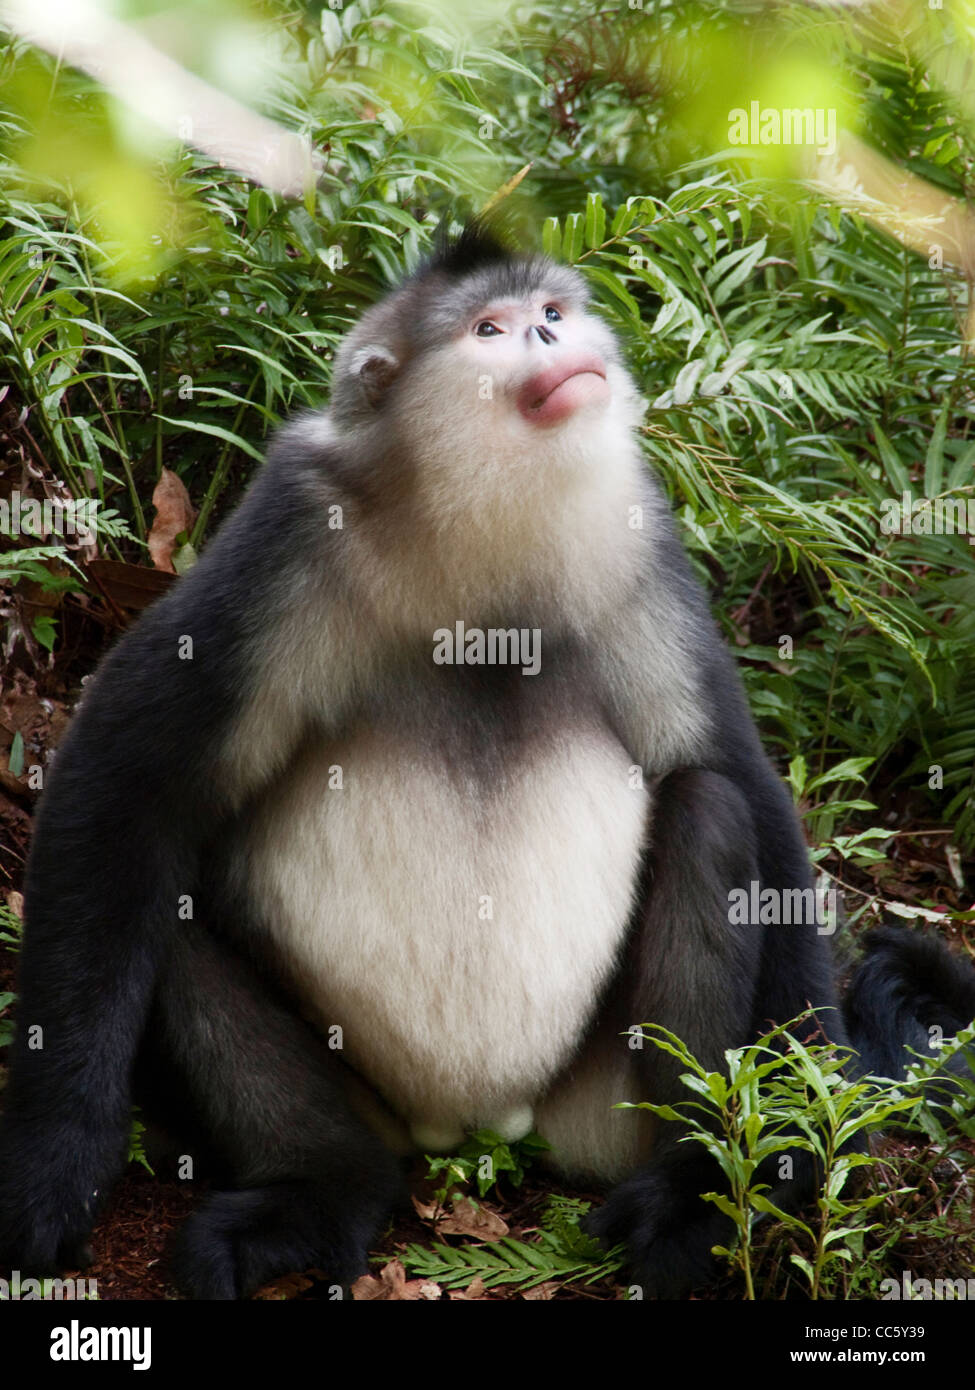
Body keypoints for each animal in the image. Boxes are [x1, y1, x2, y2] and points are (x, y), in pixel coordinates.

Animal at [0, 221, 973, 1300]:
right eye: (491, 330)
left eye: (550, 313)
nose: (553, 340)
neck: (484, 539)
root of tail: (477, 1125)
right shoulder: (289, 526)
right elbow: (132, 785)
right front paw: (54, 1161)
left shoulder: (637, 530)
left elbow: (743, 781)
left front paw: (801, 1144)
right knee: (171, 904)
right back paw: (316, 1186)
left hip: (600, 1107)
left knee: (710, 808)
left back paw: (687, 1187)